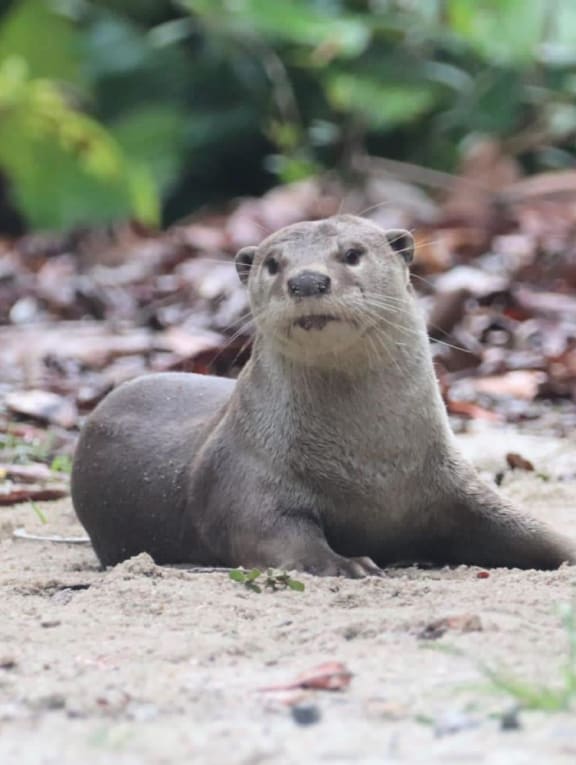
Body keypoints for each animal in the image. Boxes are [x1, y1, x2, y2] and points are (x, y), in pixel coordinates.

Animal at [71, 215, 575, 576]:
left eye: (352, 254)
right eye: (274, 264)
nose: (308, 281)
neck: (372, 465)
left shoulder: (455, 482)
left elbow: (527, 528)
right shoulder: (249, 476)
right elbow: (273, 533)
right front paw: (346, 563)